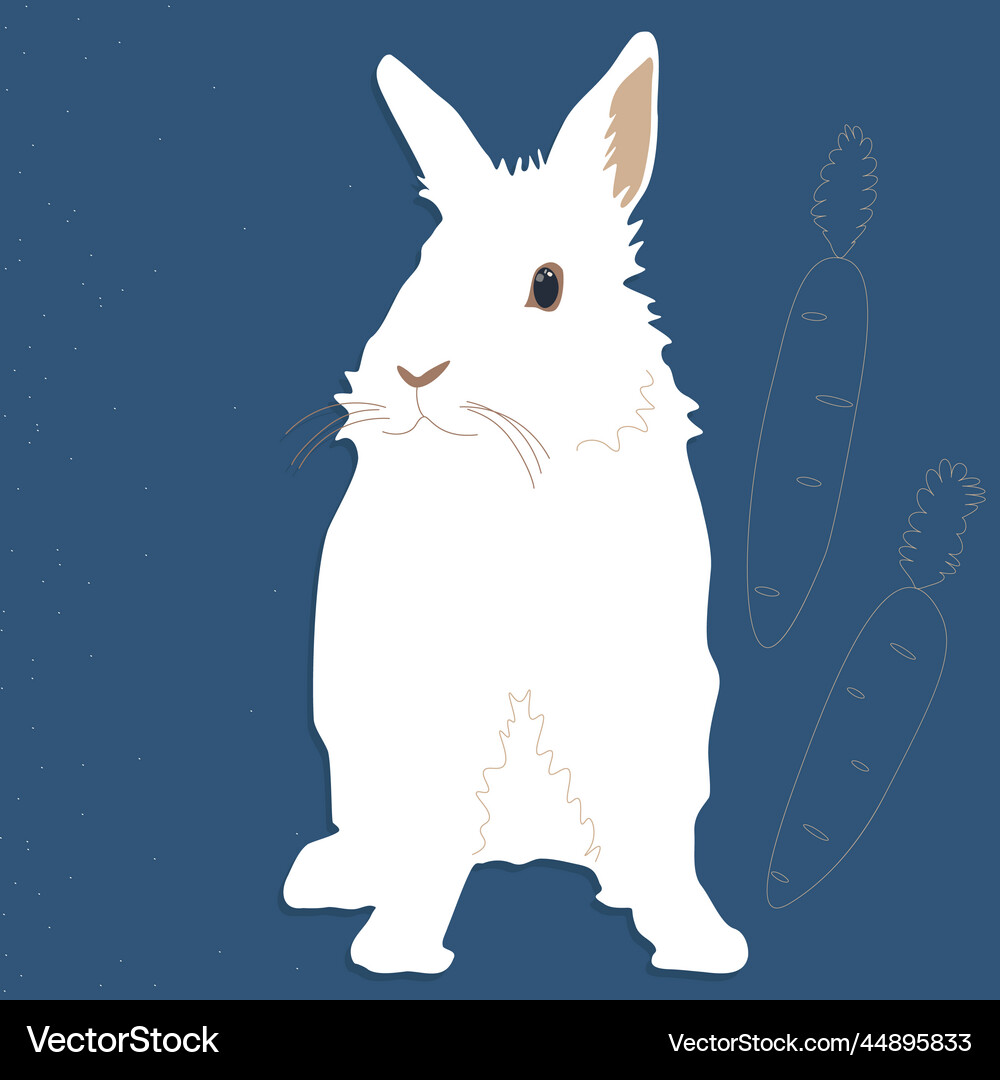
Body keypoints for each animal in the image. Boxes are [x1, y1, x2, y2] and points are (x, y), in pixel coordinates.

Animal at [283, 31, 748, 976]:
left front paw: (703, 947)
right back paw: (330, 879)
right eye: (422, 269)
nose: (416, 373)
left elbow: (660, 827)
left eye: (547, 284)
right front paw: (396, 954)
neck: (511, 474)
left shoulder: (643, 688)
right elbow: (430, 828)